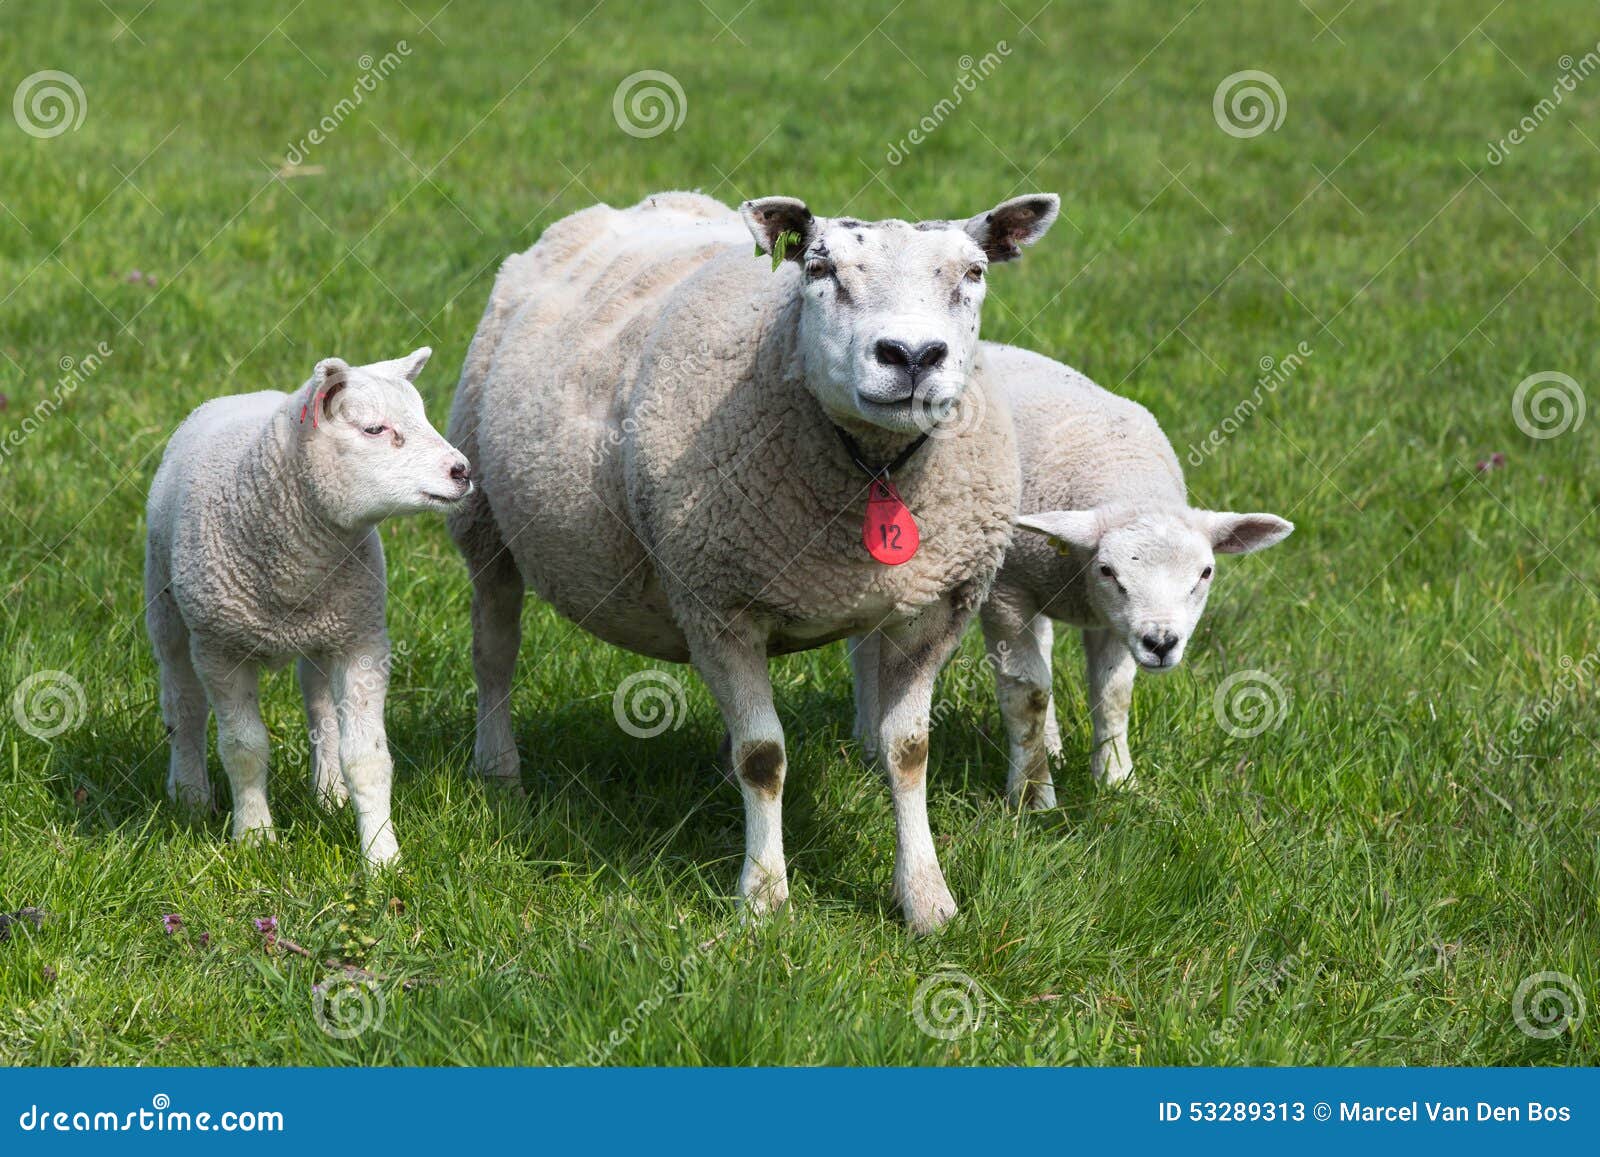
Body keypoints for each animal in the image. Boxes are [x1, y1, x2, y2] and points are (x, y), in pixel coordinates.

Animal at [144, 348, 472, 864]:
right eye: (373, 429)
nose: (463, 472)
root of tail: (245, 394)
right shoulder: (220, 649)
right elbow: (243, 748)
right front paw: (255, 838)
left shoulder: (361, 641)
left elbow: (368, 756)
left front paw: (382, 857)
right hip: (168, 609)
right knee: (184, 704)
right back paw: (190, 795)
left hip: (327, 631)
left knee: (320, 709)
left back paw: (329, 794)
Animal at [446, 190, 1059, 932]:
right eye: (820, 269)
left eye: (973, 273)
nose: (912, 354)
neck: (875, 467)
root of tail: (635, 203)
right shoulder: (718, 604)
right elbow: (764, 757)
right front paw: (765, 897)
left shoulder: (937, 604)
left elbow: (909, 751)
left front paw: (926, 897)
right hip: (485, 522)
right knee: (495, 651)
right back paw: (497, 766)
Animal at [851, 342, 1293, 808]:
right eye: (1107, 570)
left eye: (1205, 573)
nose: (1161, 643)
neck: (1127, 480)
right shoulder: (1007, 593)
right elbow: (1027, 692)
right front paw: (1033, 796)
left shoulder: (1115, 622)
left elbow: (1113, 694)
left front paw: (1117, 781)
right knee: (866, 643)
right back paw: (869, 743)